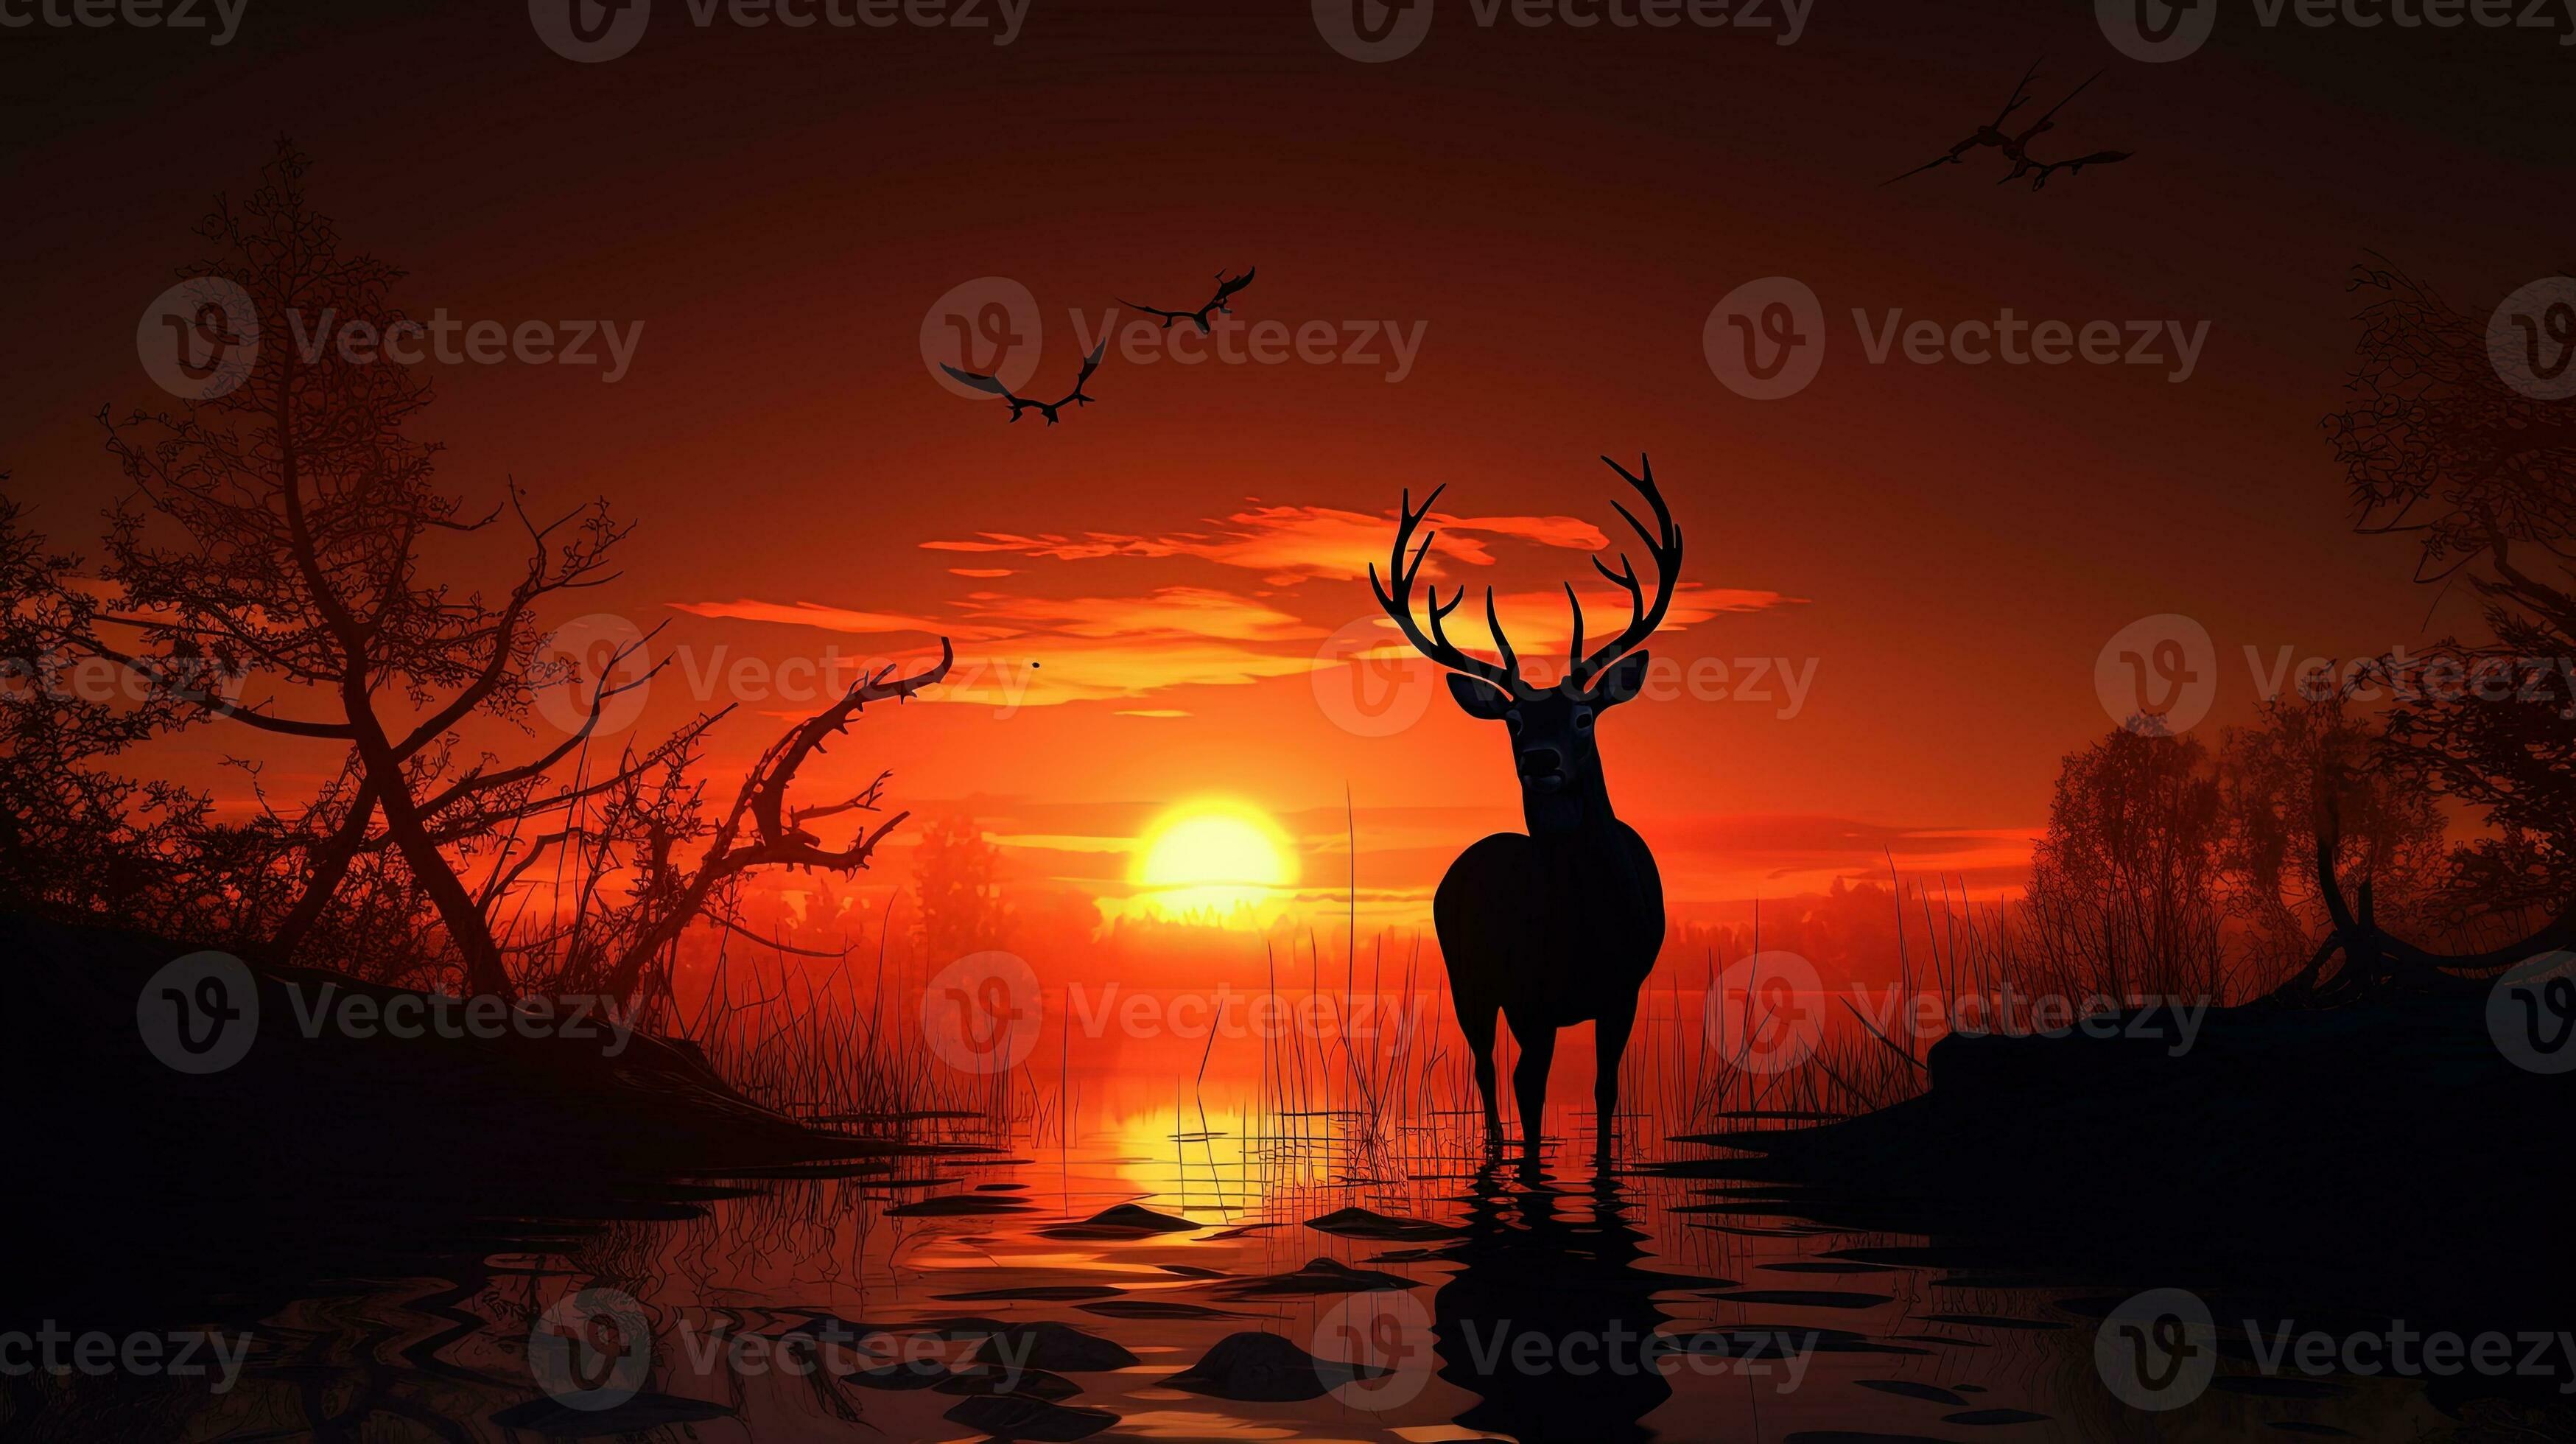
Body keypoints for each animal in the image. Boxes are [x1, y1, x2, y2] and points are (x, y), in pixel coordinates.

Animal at [1369, 453, 1683, 1161]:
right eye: (1513, 721)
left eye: (1585, 716)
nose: (1542, 761)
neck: (1581, 930)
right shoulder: (1528, 995)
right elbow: (1528, 1092)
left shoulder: (1623, 990)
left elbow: (1603, 1092)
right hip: (1466, 978)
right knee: (1488, 1069)